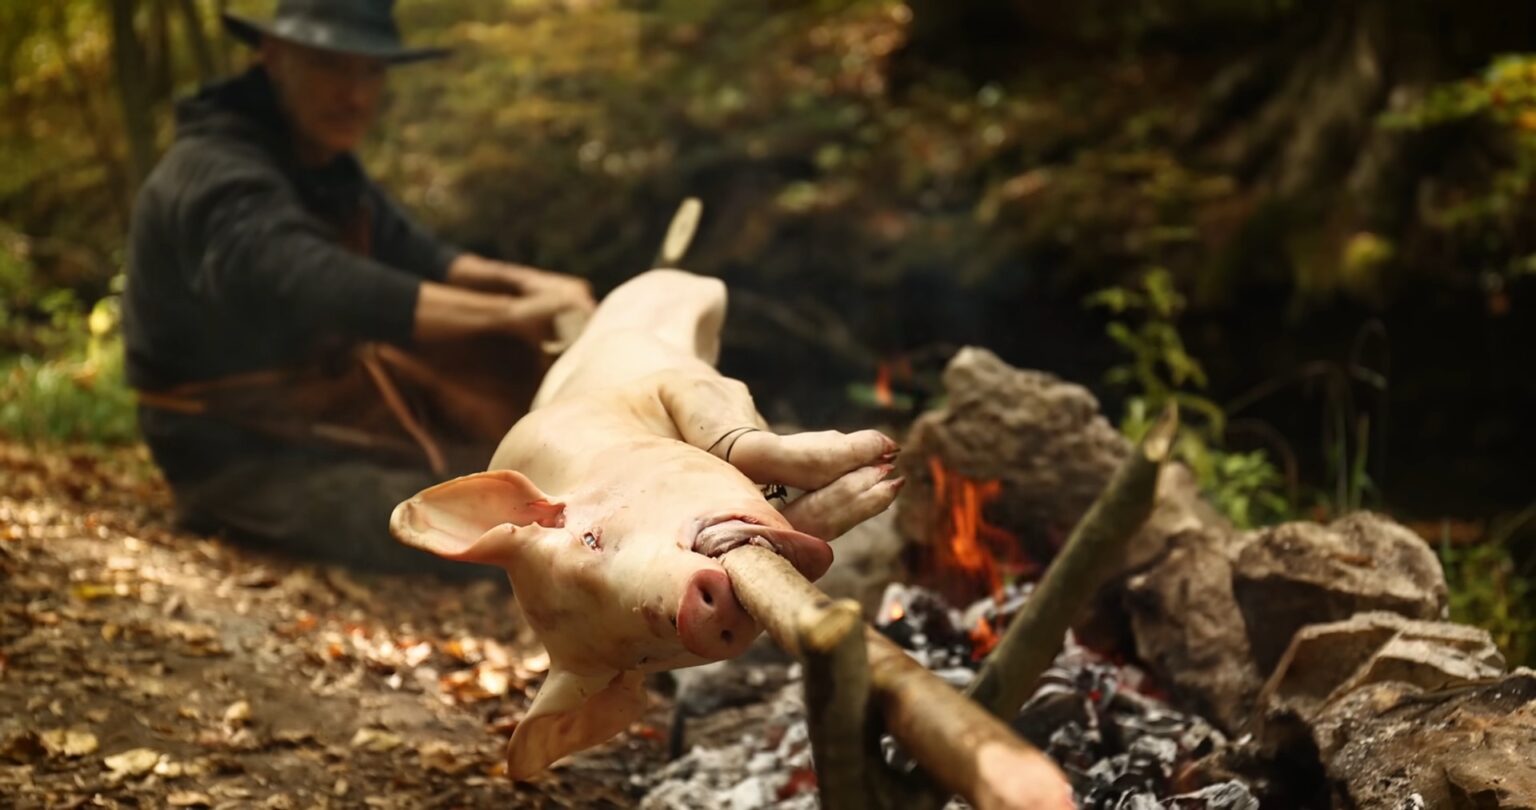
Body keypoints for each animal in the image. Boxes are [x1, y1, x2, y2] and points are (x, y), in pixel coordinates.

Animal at [390, 269, 904, 778]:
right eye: (642, 651)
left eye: (592, 537)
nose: (693, 607)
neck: (590, 455)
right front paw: (877, 483)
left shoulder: (675, 387)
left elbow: (746, 444)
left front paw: (884, 459)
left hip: (681, 296)